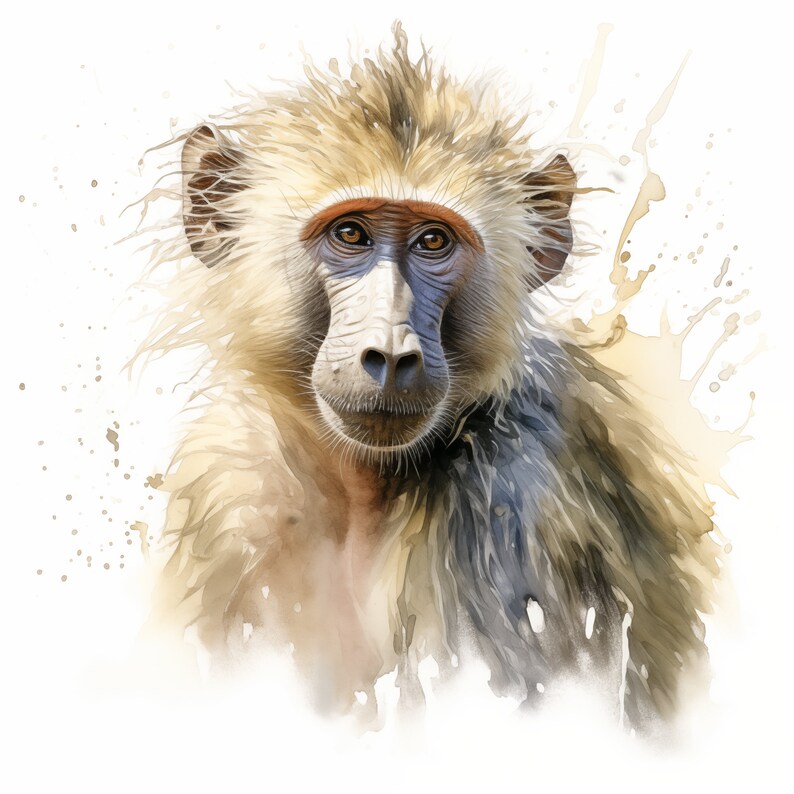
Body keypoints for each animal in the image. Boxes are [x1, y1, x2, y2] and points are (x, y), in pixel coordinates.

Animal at [147, 26, 720, 727]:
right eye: (350, 233)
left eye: (433, 243)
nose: (391, 354)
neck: (364, 493)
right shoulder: (229, 488)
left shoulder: (511, 500)